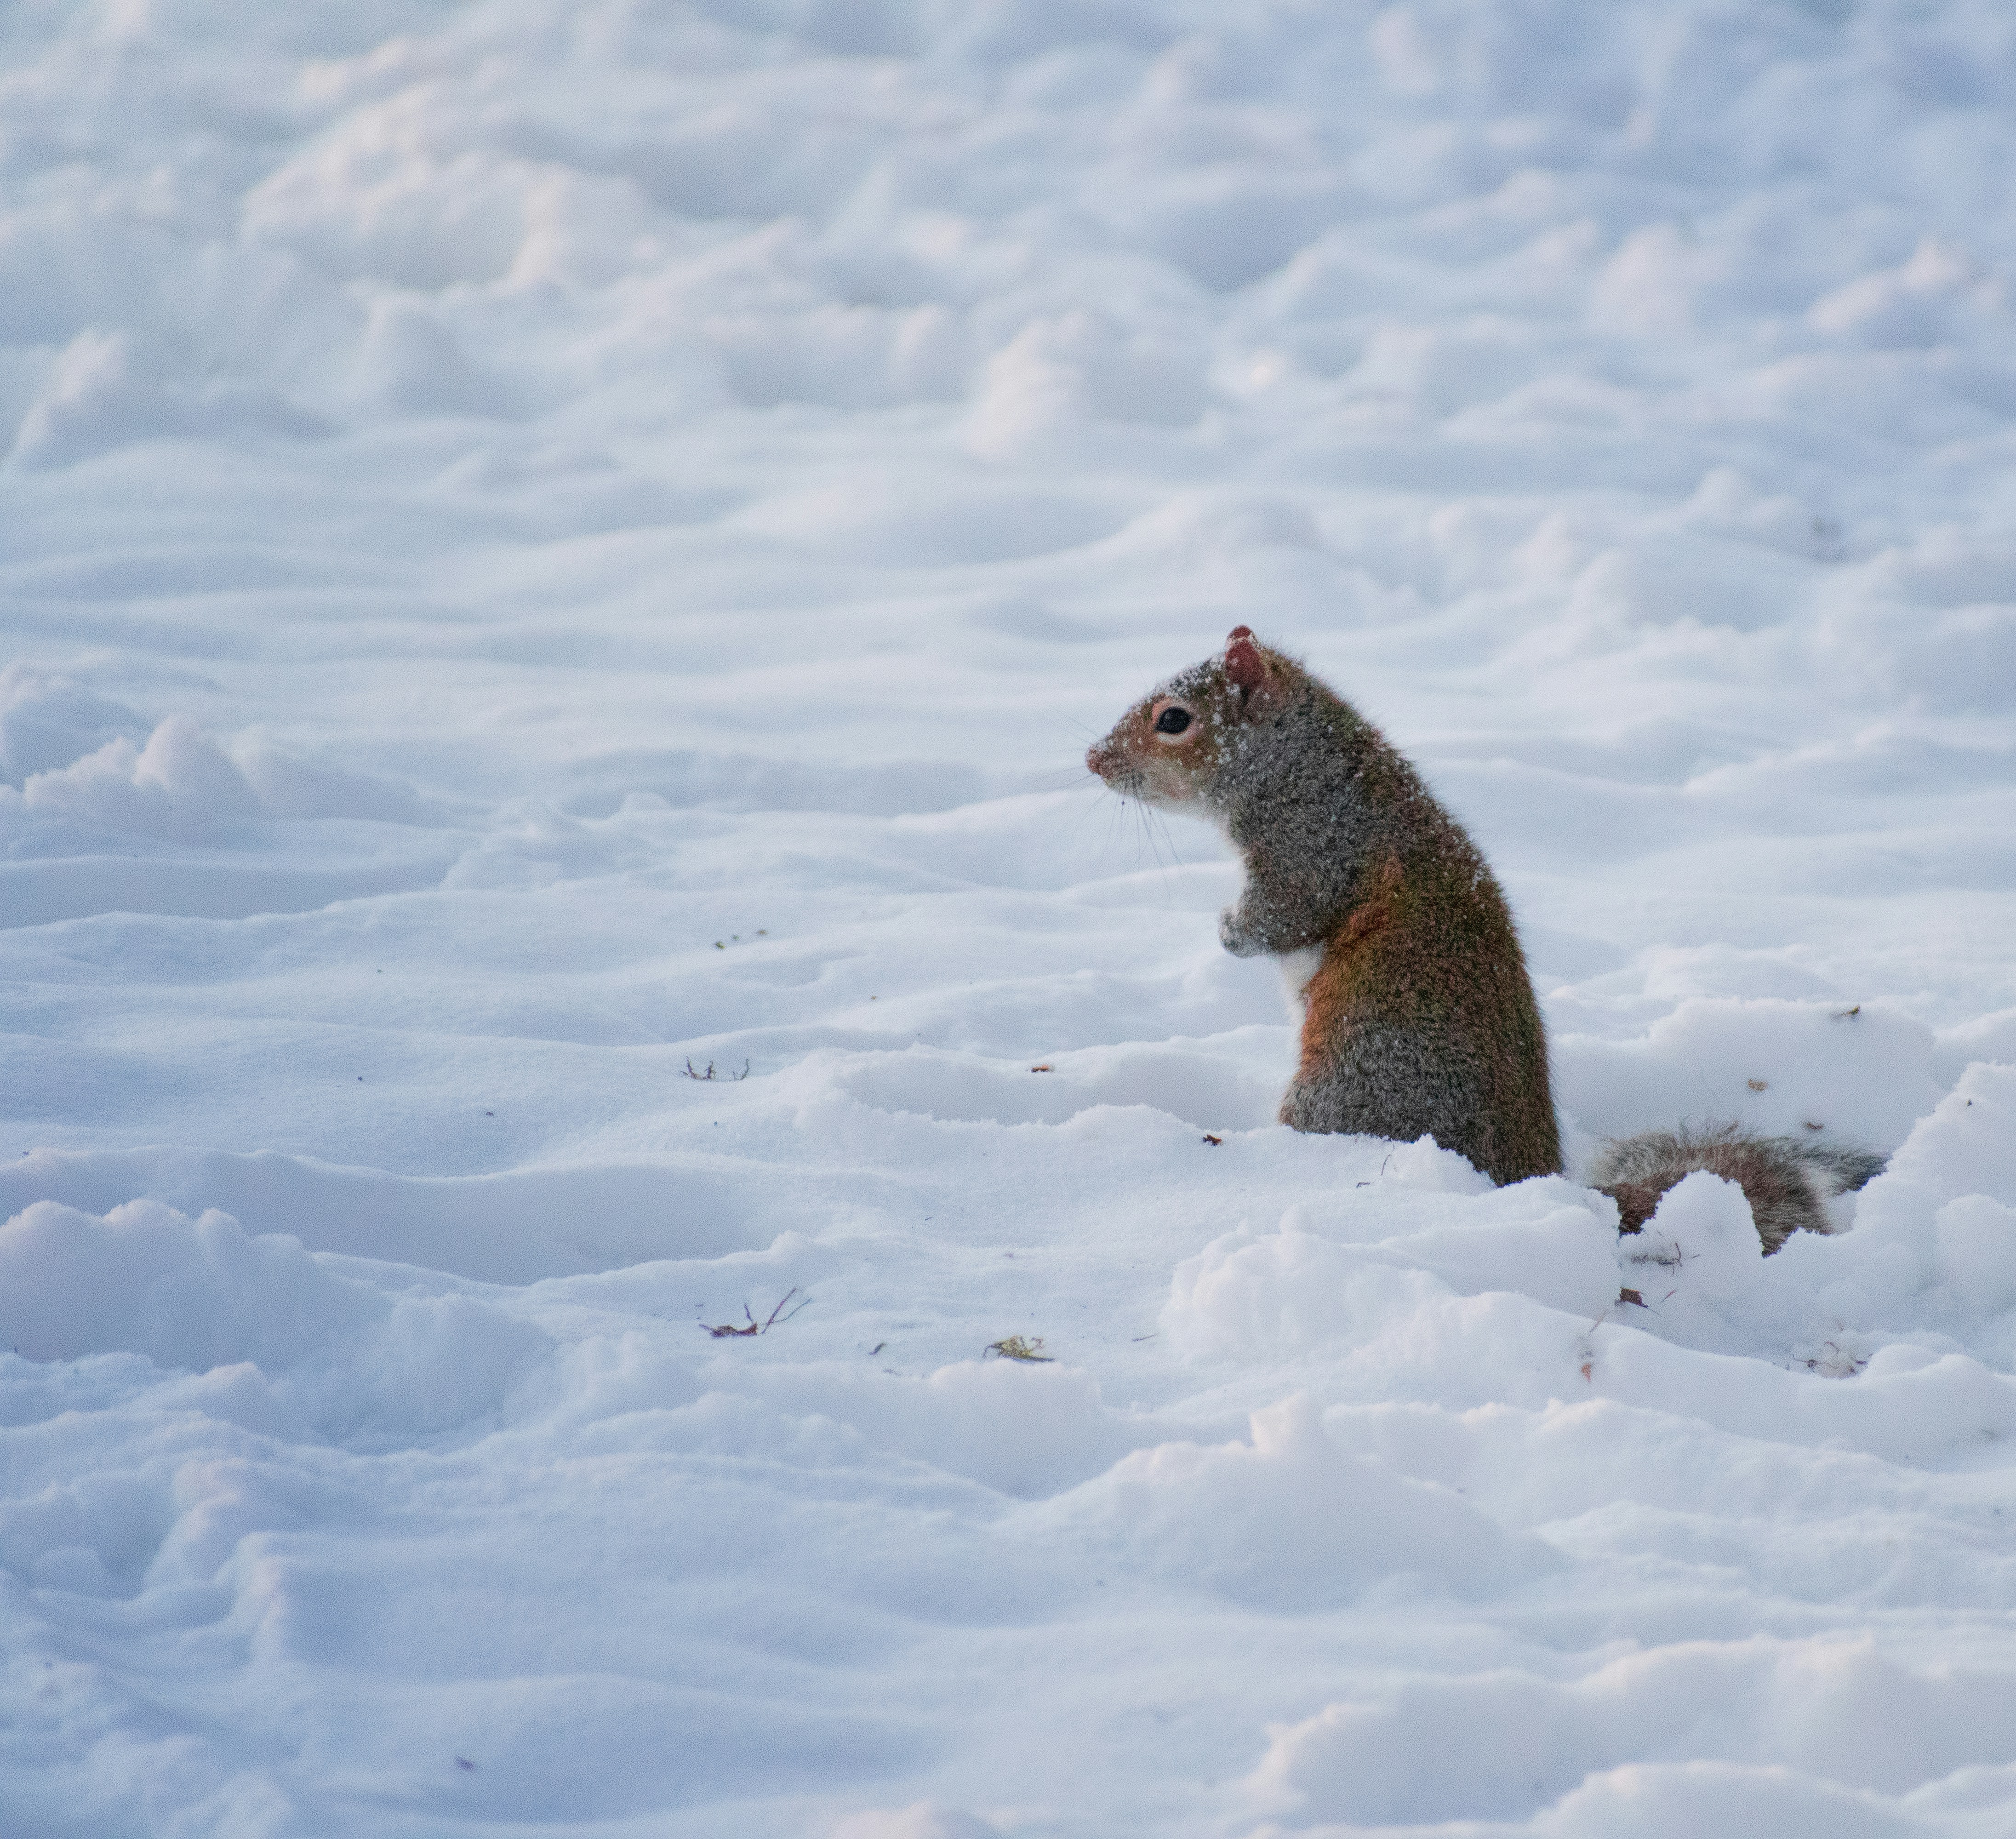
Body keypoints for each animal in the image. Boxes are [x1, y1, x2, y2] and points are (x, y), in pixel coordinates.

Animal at [1087, 627, 1882, 1248]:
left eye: (1174, 718)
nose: (1093, 760)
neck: (1301, 759)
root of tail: (1520, 1179)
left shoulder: (1312, 845)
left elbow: (1282, 914)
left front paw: (1228, 932)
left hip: (1349, 1080)